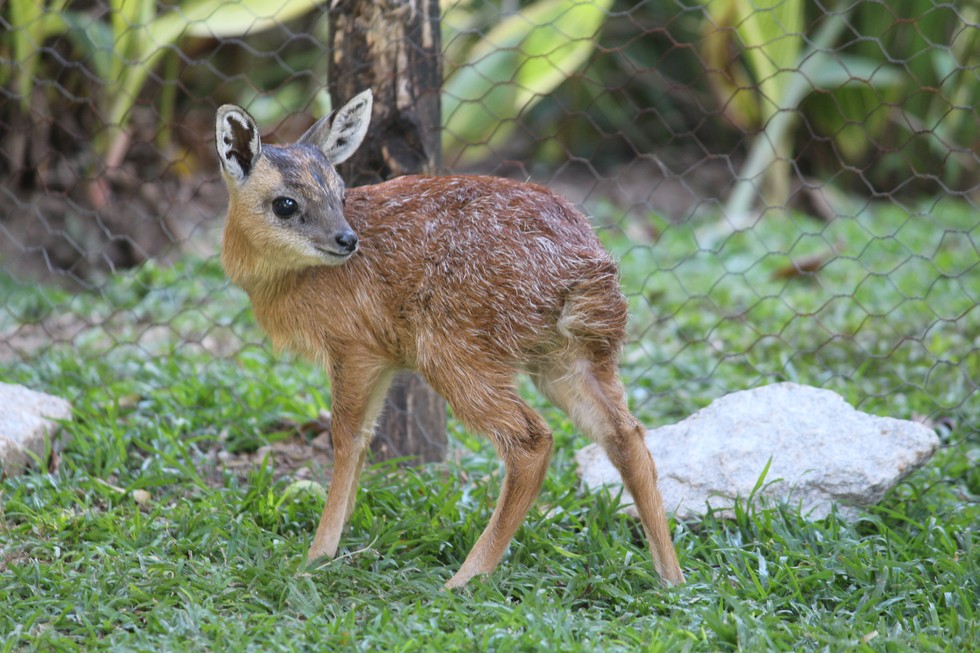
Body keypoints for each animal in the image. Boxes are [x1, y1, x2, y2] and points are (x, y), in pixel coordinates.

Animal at [215, 90, 685, 588]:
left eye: (341, 194)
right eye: (285, 204)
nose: (346, 239)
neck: (290, 281)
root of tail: (587, 268)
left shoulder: (353, 347)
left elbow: (346, 437)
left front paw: (316, 556)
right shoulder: (382, 358)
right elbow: (364, 439)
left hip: (453, 353)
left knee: (533, 440)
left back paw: (463, 580)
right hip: (567, 360)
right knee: (626, 433)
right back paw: (670, 576)